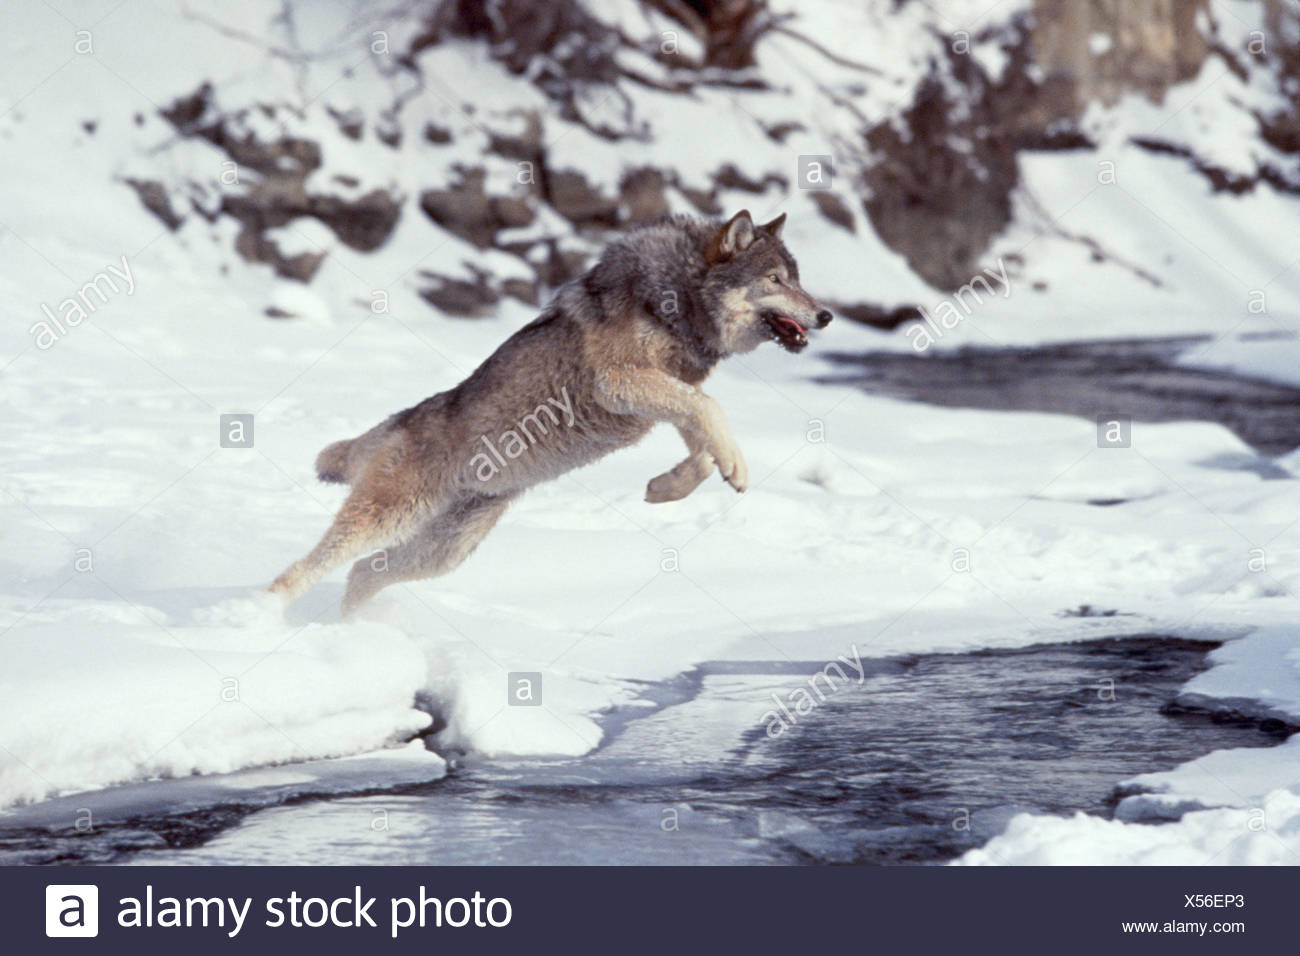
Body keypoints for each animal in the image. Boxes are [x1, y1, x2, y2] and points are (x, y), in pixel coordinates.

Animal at [269, 209, 831, 615]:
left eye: (799, 279)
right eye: (776, 280)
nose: (826, 314)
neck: (677, 300)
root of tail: (402, 418)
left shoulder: (660, 400)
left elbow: (701, 446)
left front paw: (665, 488)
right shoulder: (621, 383)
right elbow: (710, 411)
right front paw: (735, 466)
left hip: (443, 553)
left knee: (363, 573)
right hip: (388, 520)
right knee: (306, 568)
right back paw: (266, 614)